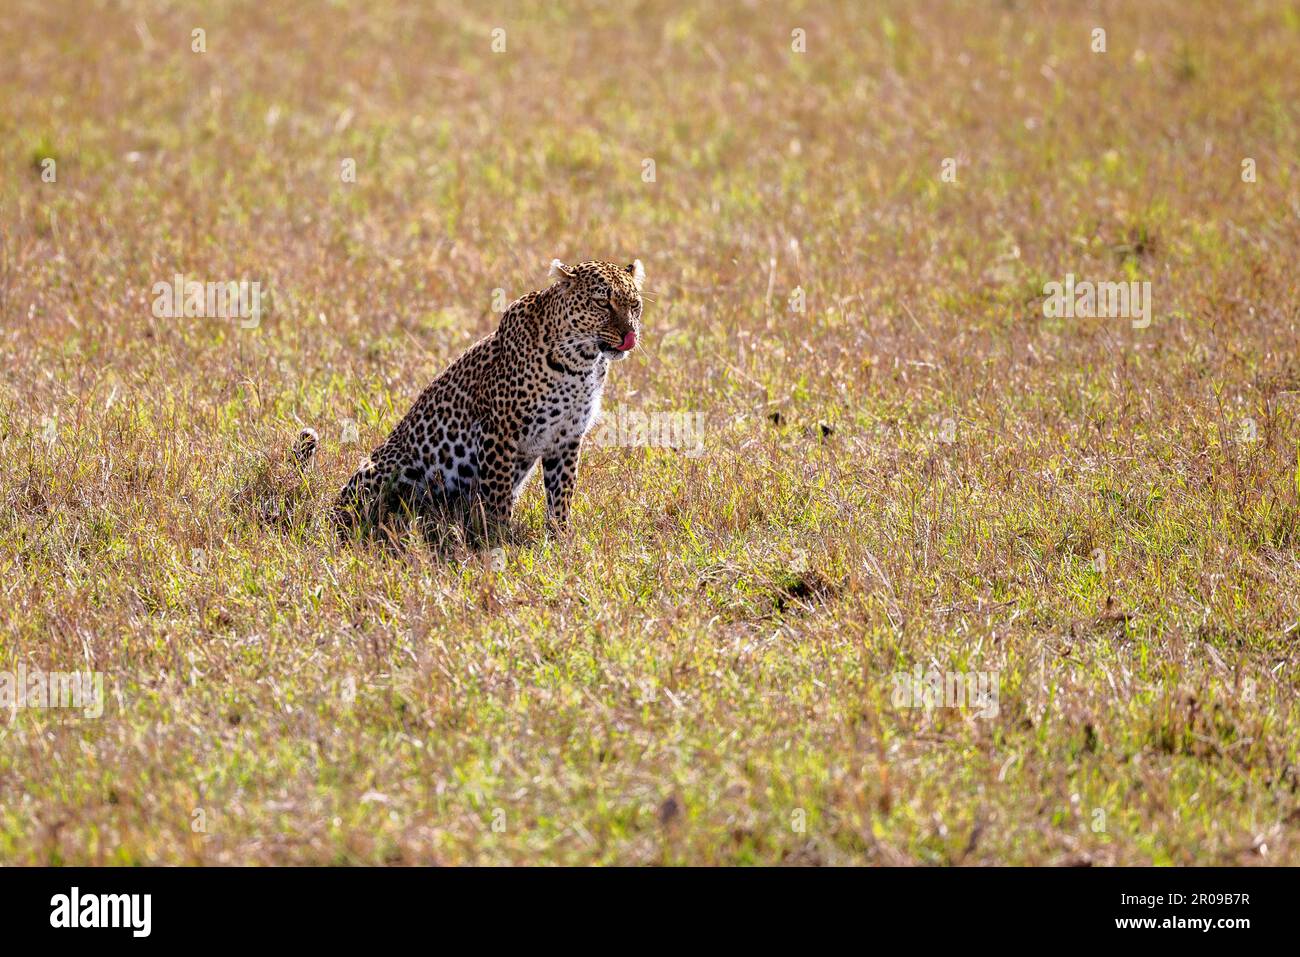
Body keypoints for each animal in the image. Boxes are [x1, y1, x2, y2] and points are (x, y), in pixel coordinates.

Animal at [295, 258, 645, 539]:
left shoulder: (567, 438)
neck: (580, 362)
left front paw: (560, 541)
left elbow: (561, 495)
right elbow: (498, 496)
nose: (630, 334)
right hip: (389, 468)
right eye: (602, 303)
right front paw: (498, 540)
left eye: (634, 305)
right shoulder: (500, 432)